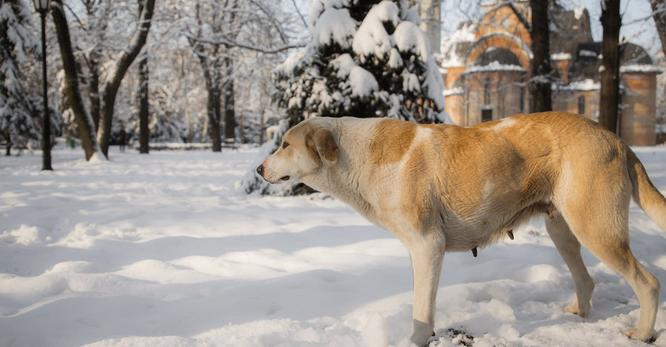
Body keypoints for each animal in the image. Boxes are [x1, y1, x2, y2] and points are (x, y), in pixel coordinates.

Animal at [255, 113, 664, 346]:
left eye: (285, 144)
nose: (259, 169)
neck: (356, 156)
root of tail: (616, 139)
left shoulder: (427, 245)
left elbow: (422, 310)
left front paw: (416, 340)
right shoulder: (418, 250)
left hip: (595, 228)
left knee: (647, 282)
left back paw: (642, 333)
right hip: (564, 231)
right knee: (586, 279)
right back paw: (578, 314)